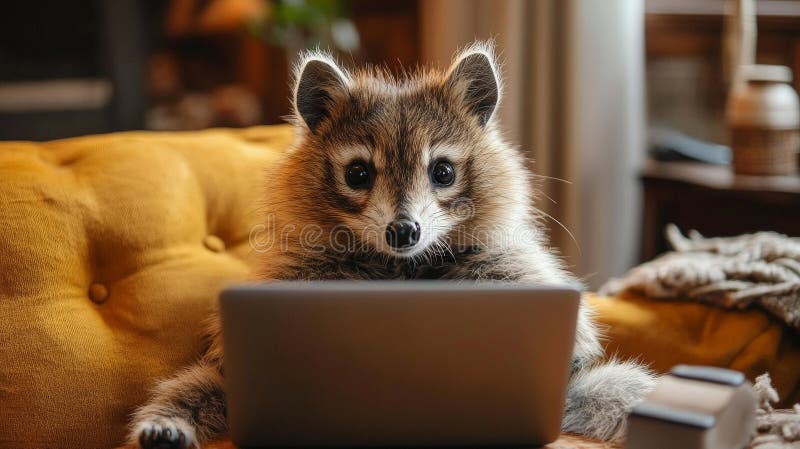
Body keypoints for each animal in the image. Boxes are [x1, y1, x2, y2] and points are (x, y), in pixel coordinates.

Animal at [129, 42, 655, 449]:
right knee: (197, 386)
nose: (404, 231)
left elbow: (575, 338)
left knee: (624, 390)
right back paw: (169, 422)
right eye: (358, 174)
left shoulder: (511, 265)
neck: (401, 263)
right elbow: (218, 358)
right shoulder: (294, 273)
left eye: (442, 172)